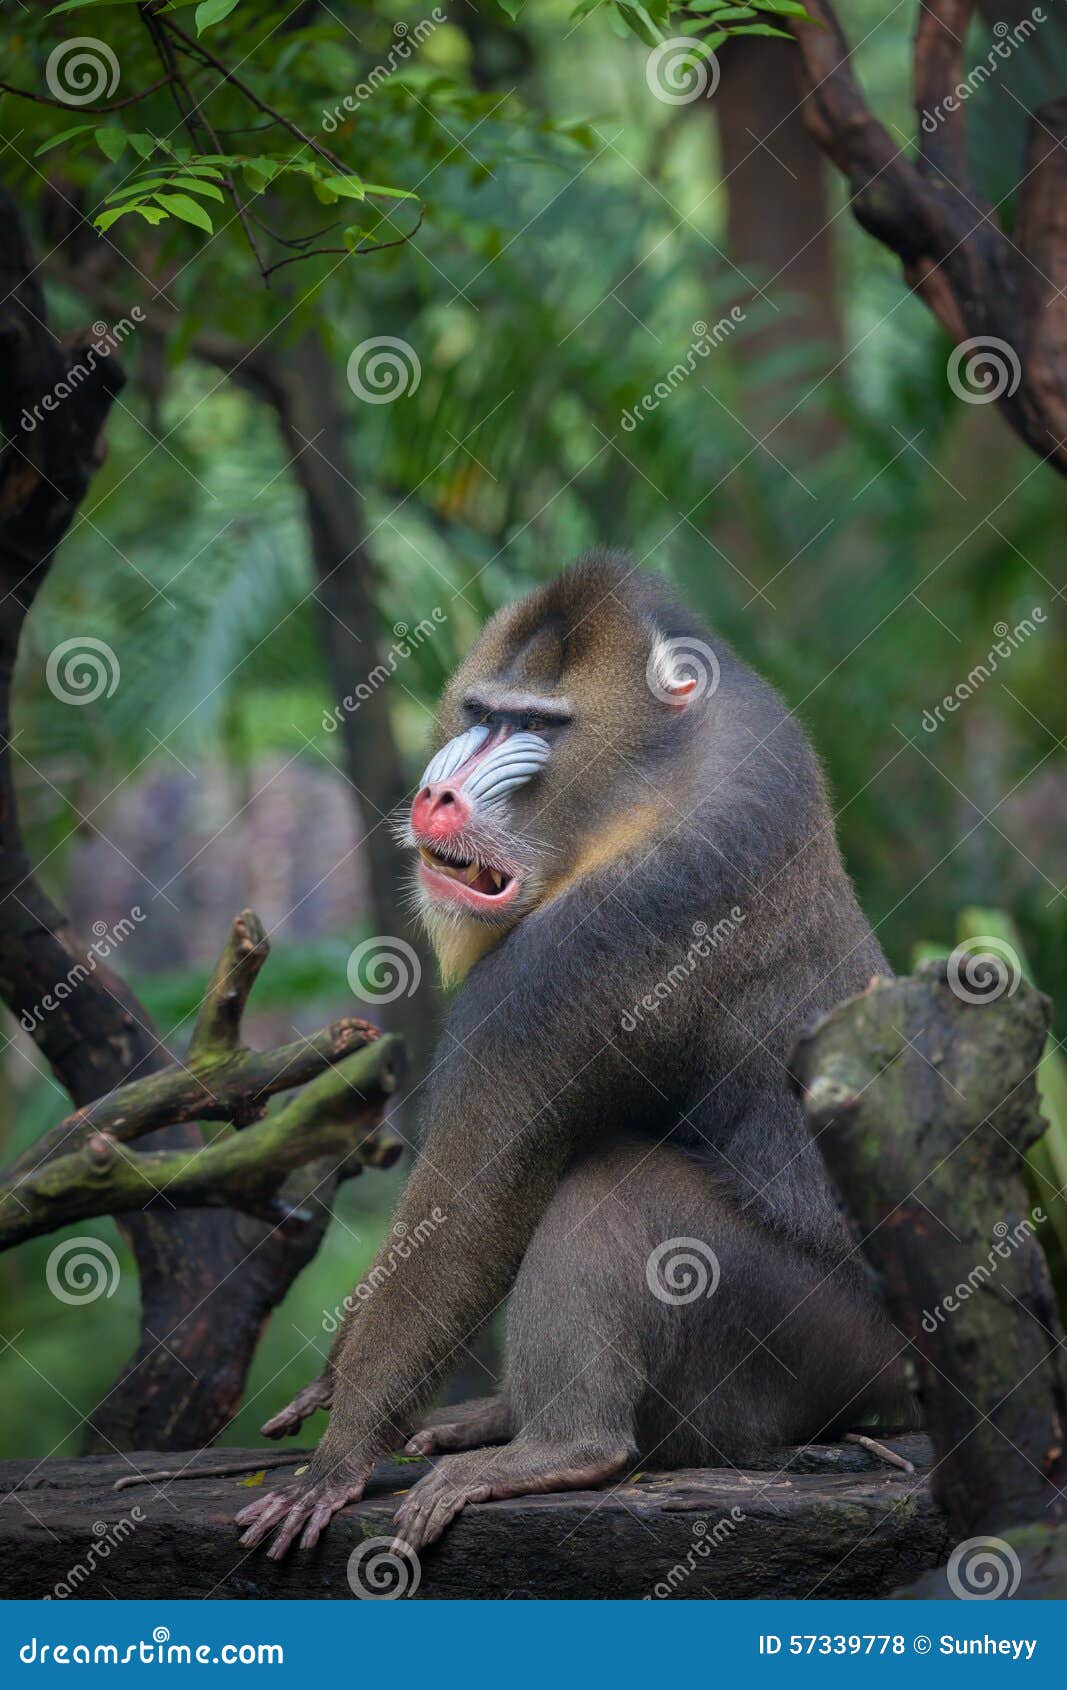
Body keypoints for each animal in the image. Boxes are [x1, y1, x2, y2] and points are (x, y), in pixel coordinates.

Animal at [236, 552, 908, 1561]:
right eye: (481, 712)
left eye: (539, 725)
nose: (436, 798)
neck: (654, 777)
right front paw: (333, 1373)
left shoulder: (585, 948)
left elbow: (470, 1202)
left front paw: (336, 1460)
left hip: (821, 1347)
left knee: (615, 1189)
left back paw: (561, 1449)